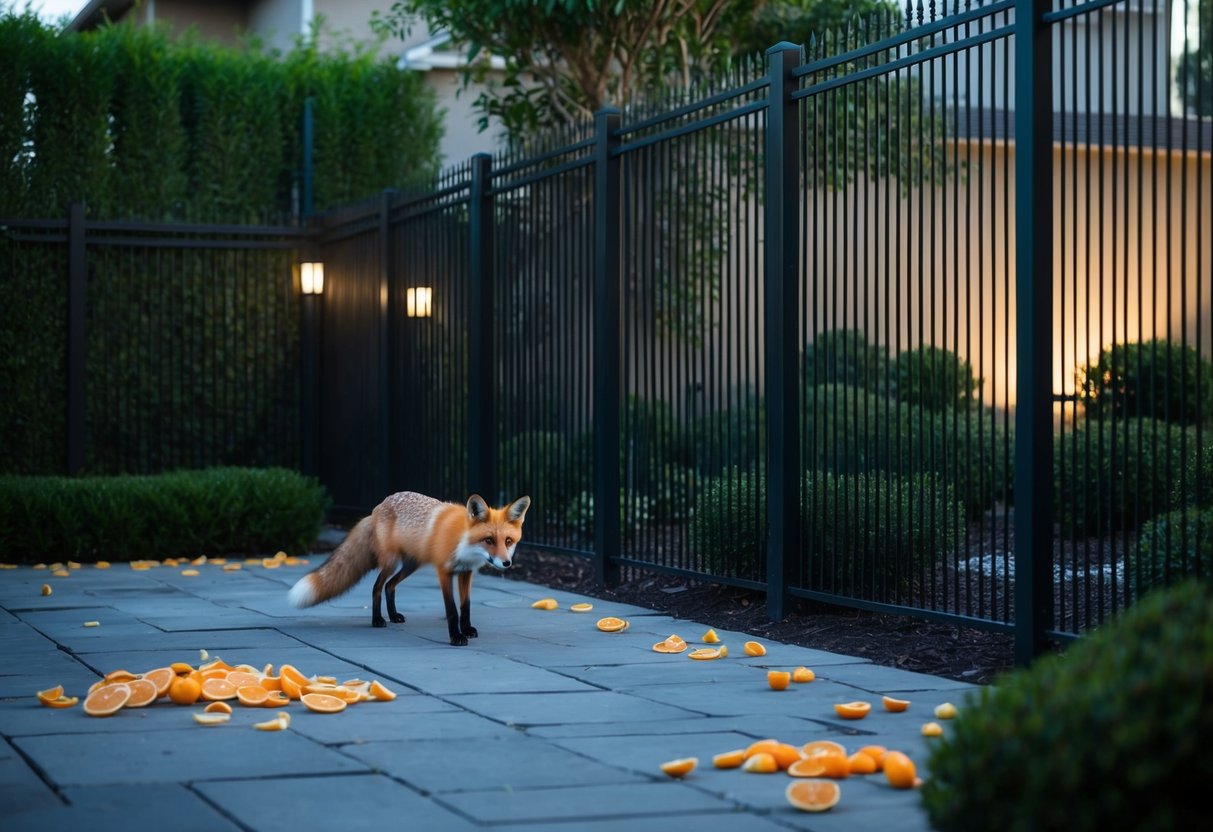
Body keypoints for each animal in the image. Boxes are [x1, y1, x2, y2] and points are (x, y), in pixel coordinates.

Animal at [288, 491, 530, 645]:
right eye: (489, 540)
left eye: (508, 541)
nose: (506, 563)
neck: (464, 542)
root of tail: (377, 507)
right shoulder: (444, 572)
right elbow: (452, 610)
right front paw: (456, 637)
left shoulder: (466, 572)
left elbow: (466, 606)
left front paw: (467, 629)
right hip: (391, 562)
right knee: (377, 587)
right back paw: (377, 620)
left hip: (412, 564)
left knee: (390, 586)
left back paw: (393, 616)